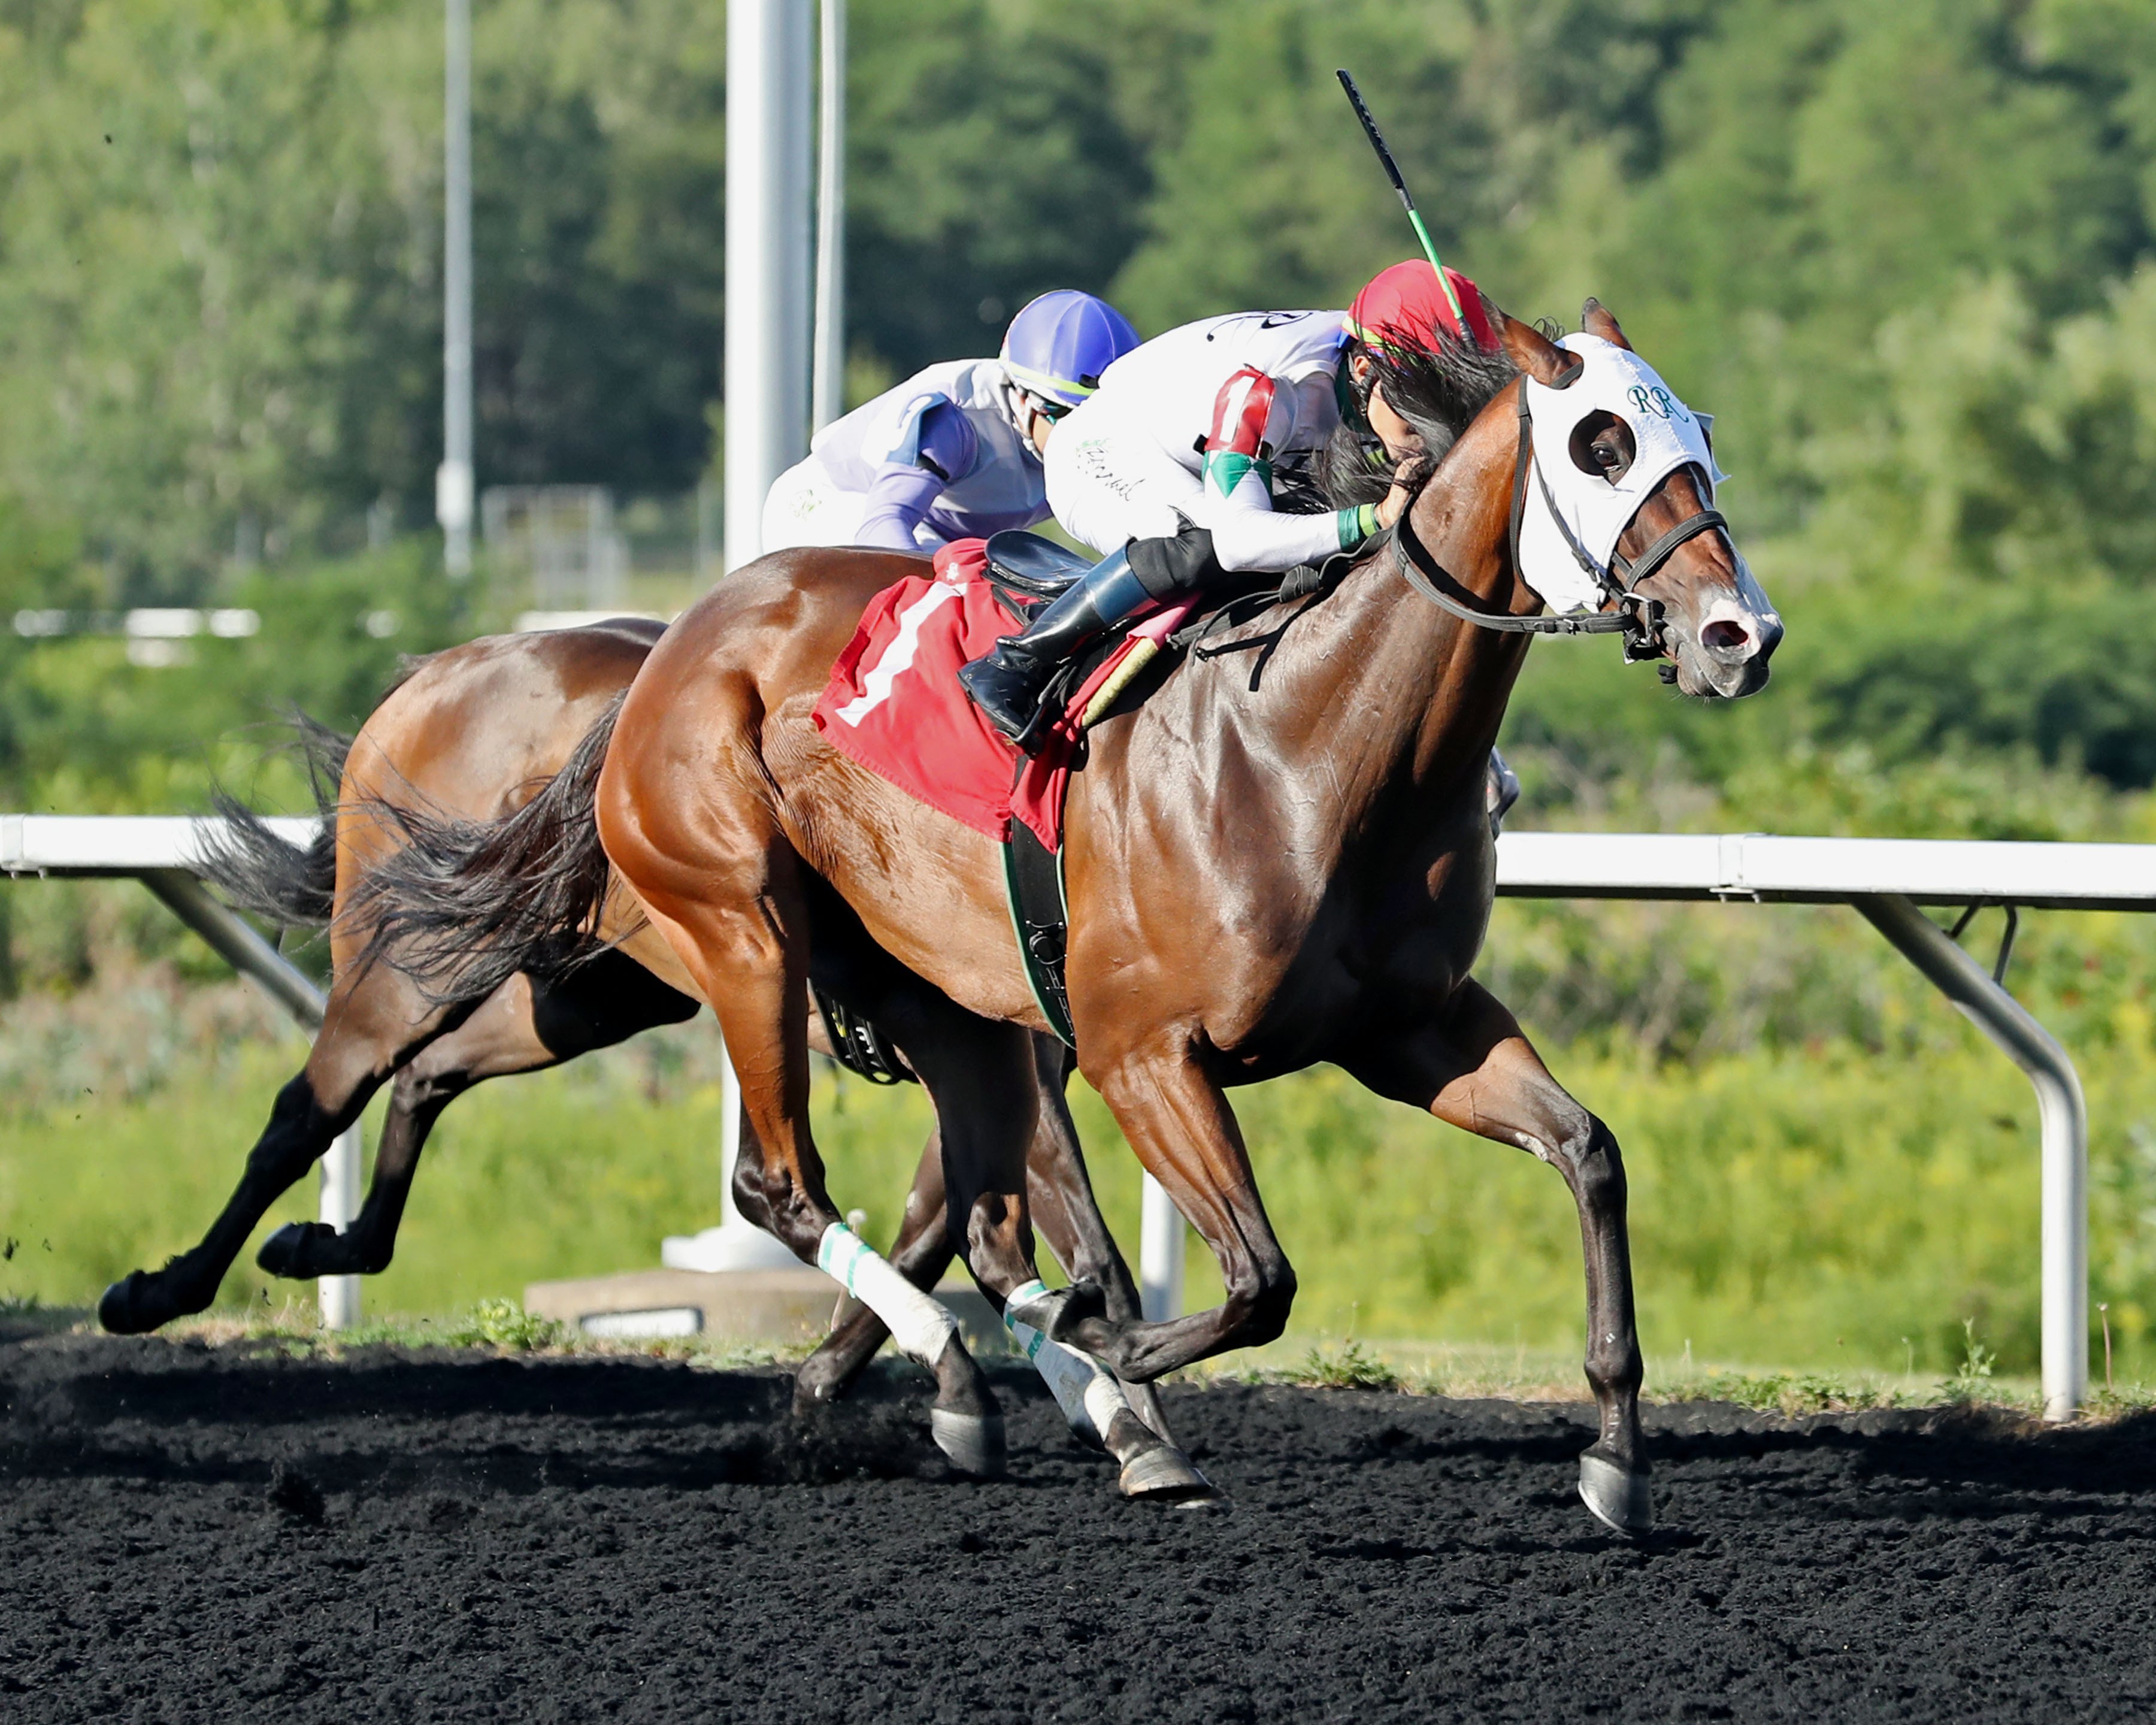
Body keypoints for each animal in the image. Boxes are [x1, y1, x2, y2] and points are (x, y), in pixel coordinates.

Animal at [95, 620, 1181, 1474]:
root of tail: (439, 667)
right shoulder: (1008, 1057)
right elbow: (1047, 1241)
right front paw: (1117, 1405)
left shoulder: (995, 1063)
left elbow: (942, 1229)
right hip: (403, 962)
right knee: (306, 1111)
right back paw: (159, 1291)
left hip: (585, 990)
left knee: (426, 1078)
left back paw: (330, 1243)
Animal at [349, 302, 1781, 1529]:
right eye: (1603, 445)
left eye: (1702, 434)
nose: (1740, 634)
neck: (1309, 744)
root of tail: (674, 640)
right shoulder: (1141, 1052)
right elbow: (1252, 1280)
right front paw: (1104, 1351)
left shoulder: (1413, 1029)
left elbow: (1590, 1154)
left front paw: (1614, 1464)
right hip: (742, 928)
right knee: (779, 1181)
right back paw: (998, 1377)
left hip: (938, 996)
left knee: (970, 1208)